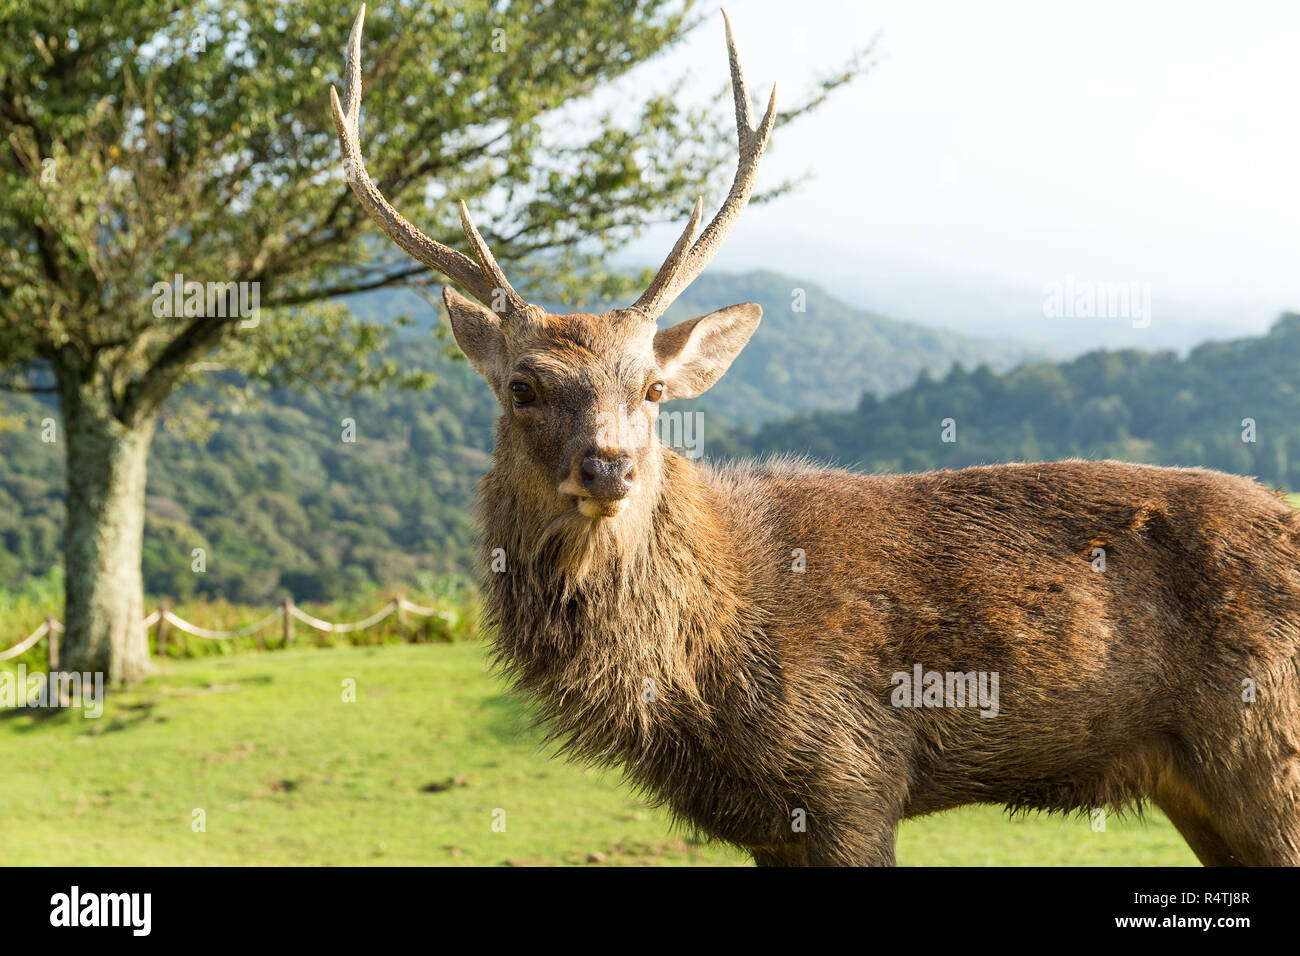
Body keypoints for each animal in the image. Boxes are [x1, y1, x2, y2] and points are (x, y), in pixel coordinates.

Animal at [331, 6, 1300, 866]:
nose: (608, 467)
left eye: (652, 388)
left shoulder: (852, 775)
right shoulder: (769, 821)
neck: (705, 673)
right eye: (522, 387)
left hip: (1268, 754)